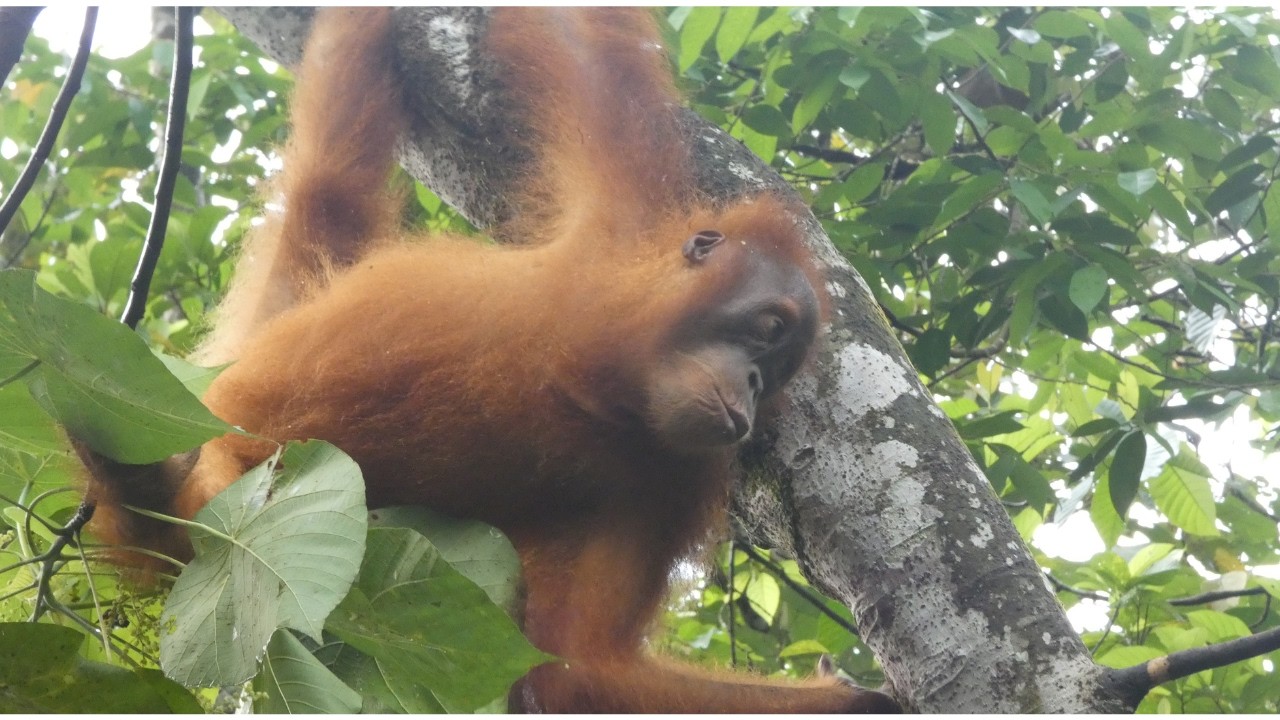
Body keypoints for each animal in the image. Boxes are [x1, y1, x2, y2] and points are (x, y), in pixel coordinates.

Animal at [80, 7, 899, 714]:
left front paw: (857, 700)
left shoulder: (672, 481)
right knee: (331, 179)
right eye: (768, 328)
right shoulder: (626, 213)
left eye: (781, 370)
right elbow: (579, 41)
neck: (599, 385)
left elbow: (578, 667)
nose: (756, 386)